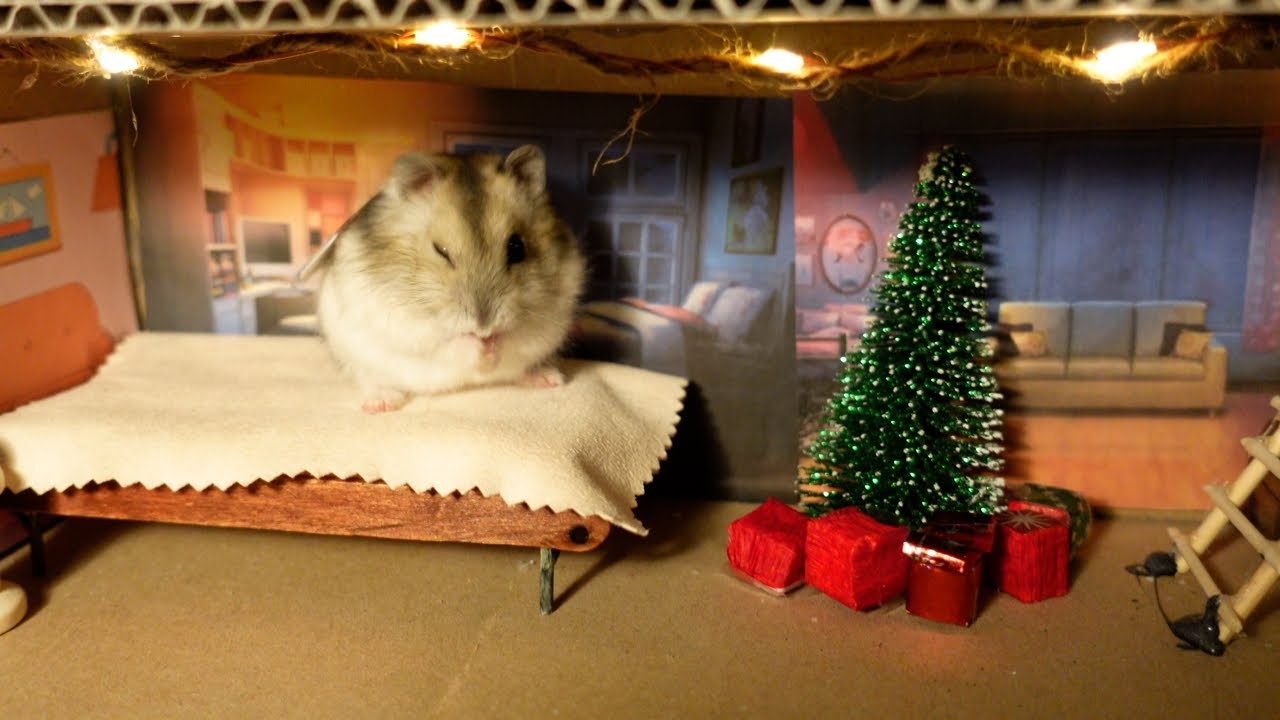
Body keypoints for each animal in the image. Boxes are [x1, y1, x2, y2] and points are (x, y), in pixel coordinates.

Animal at [312, 145, 586, 413]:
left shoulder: (548, 319)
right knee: (369, 378)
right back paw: (381, 403)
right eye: (440, 250)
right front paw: (481, 350)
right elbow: (447, 342)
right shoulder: (407, 325)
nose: (484, 326)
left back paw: (550, 378)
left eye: (517, 248)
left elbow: (513, 337)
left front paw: (491, 348)